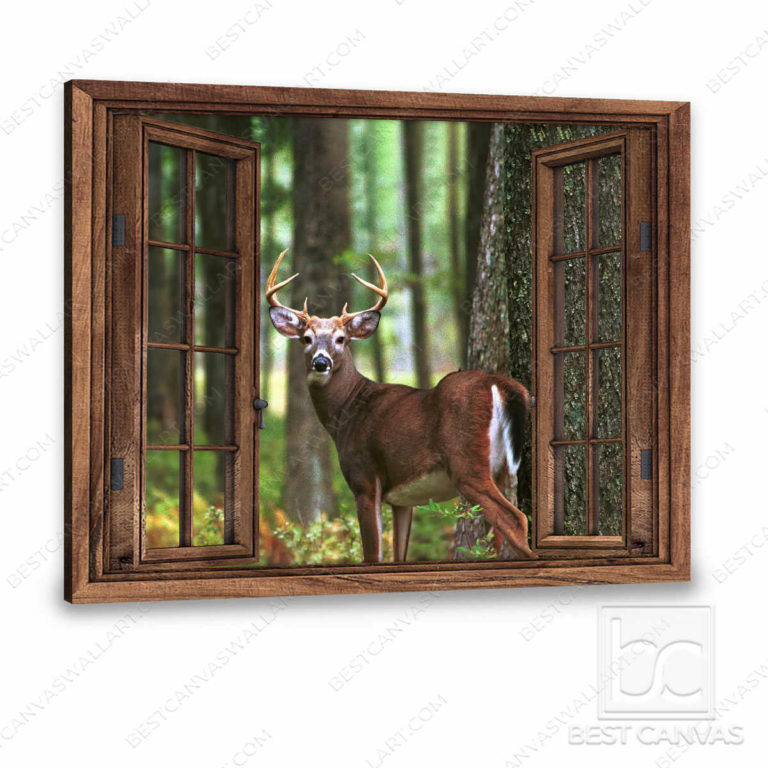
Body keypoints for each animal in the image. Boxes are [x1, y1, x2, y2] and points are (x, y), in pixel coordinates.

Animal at [266, 250, 536, 563]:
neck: (348, 411)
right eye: (306, 339)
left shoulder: (364, 479)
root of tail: (499, 383)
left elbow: (373, 554)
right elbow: (399, 554)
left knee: (516, 519)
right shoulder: (402, 500)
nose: (322, 362)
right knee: (498, 534)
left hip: (467, 463)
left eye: (341, 339)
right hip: (501, 469)